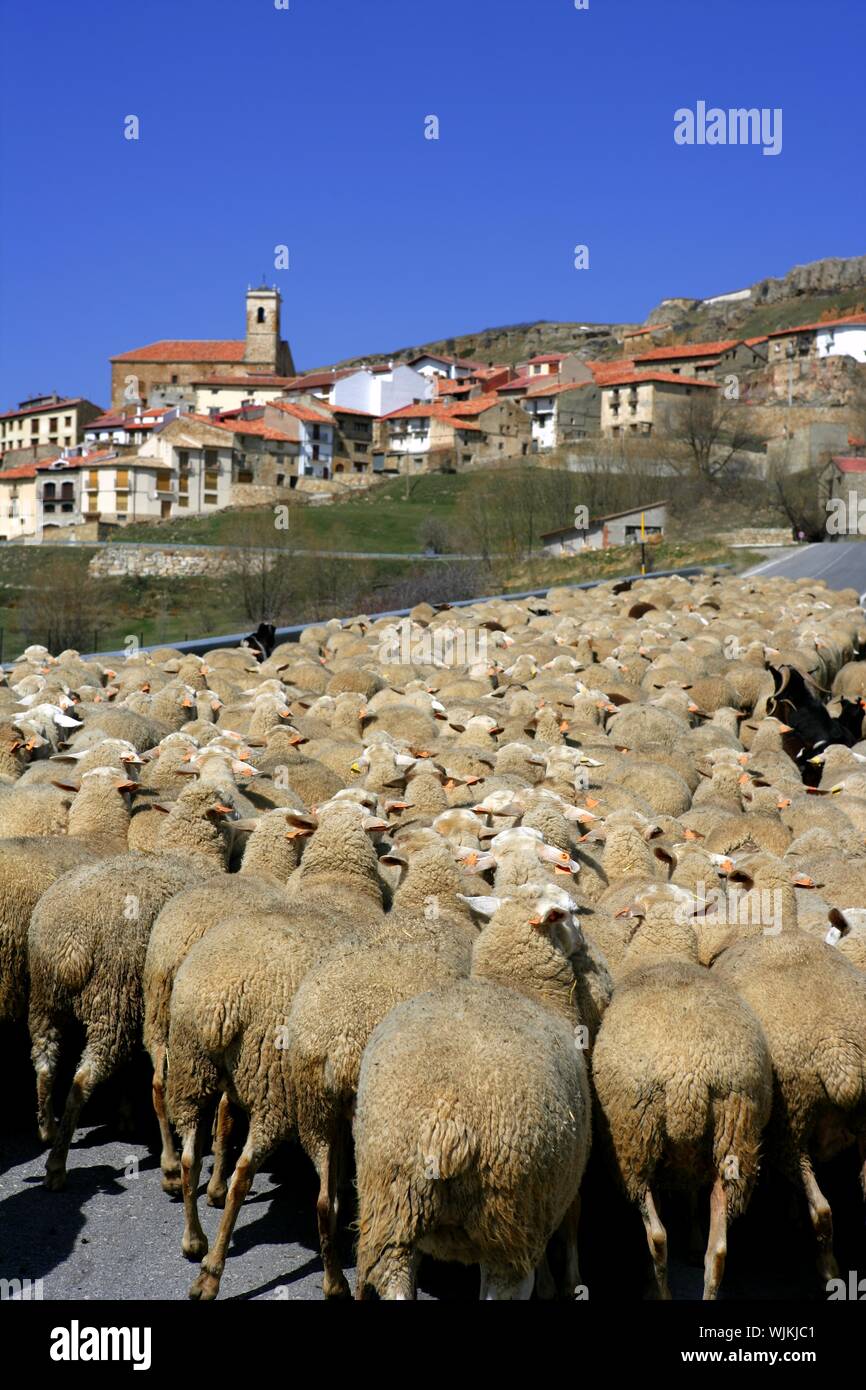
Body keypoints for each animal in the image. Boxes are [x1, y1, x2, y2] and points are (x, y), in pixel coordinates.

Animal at [353, 884, 592, 1300]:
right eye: (570, 910)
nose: (585, 942)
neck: (517, 985)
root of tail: (444, 1120)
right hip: (507, 1219)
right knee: (508, 1281)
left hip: (392, 1202)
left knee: (395, 1275)